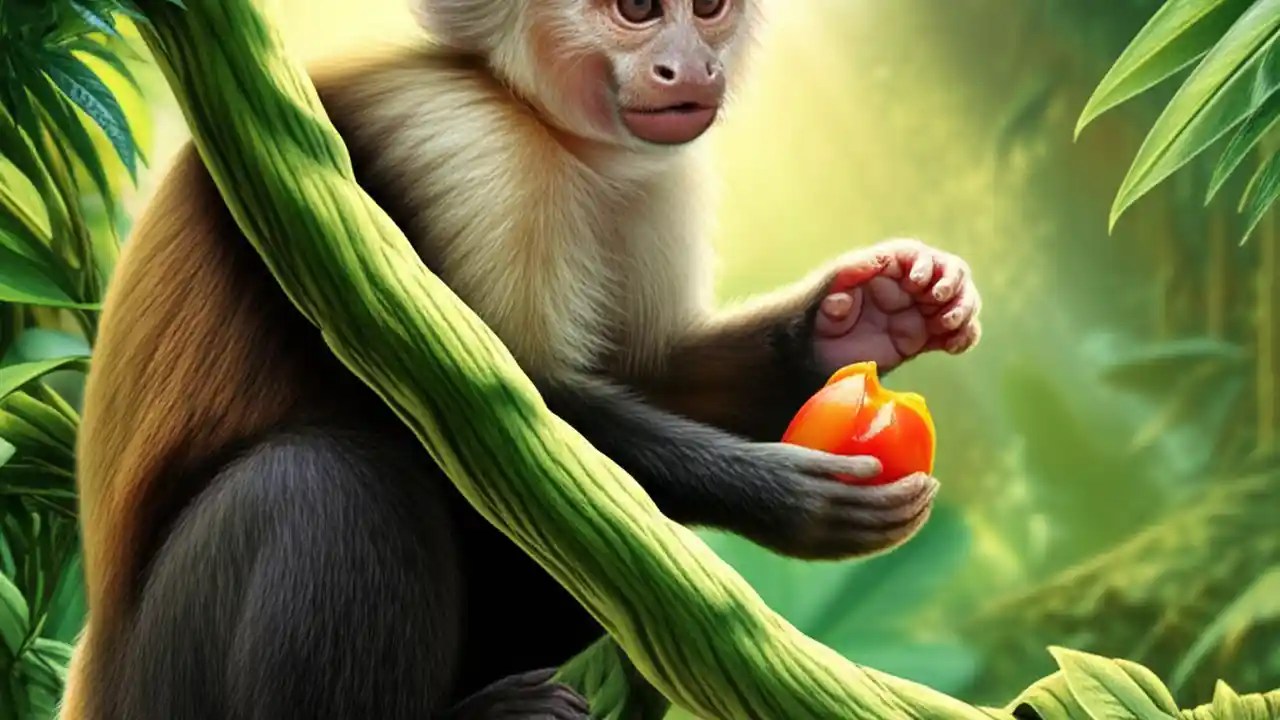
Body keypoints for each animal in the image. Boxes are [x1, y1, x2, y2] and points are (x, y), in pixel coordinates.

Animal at [59, 0, 983, 718]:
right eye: (638, 9)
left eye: (708, 8)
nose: (689, 68)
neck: (532, 113)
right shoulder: (464, 148)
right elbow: (494, 412)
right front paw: (786, 499)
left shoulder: (654, 178)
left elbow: (648, 375)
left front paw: (869, 317)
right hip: (163, 681)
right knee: (325, 481)